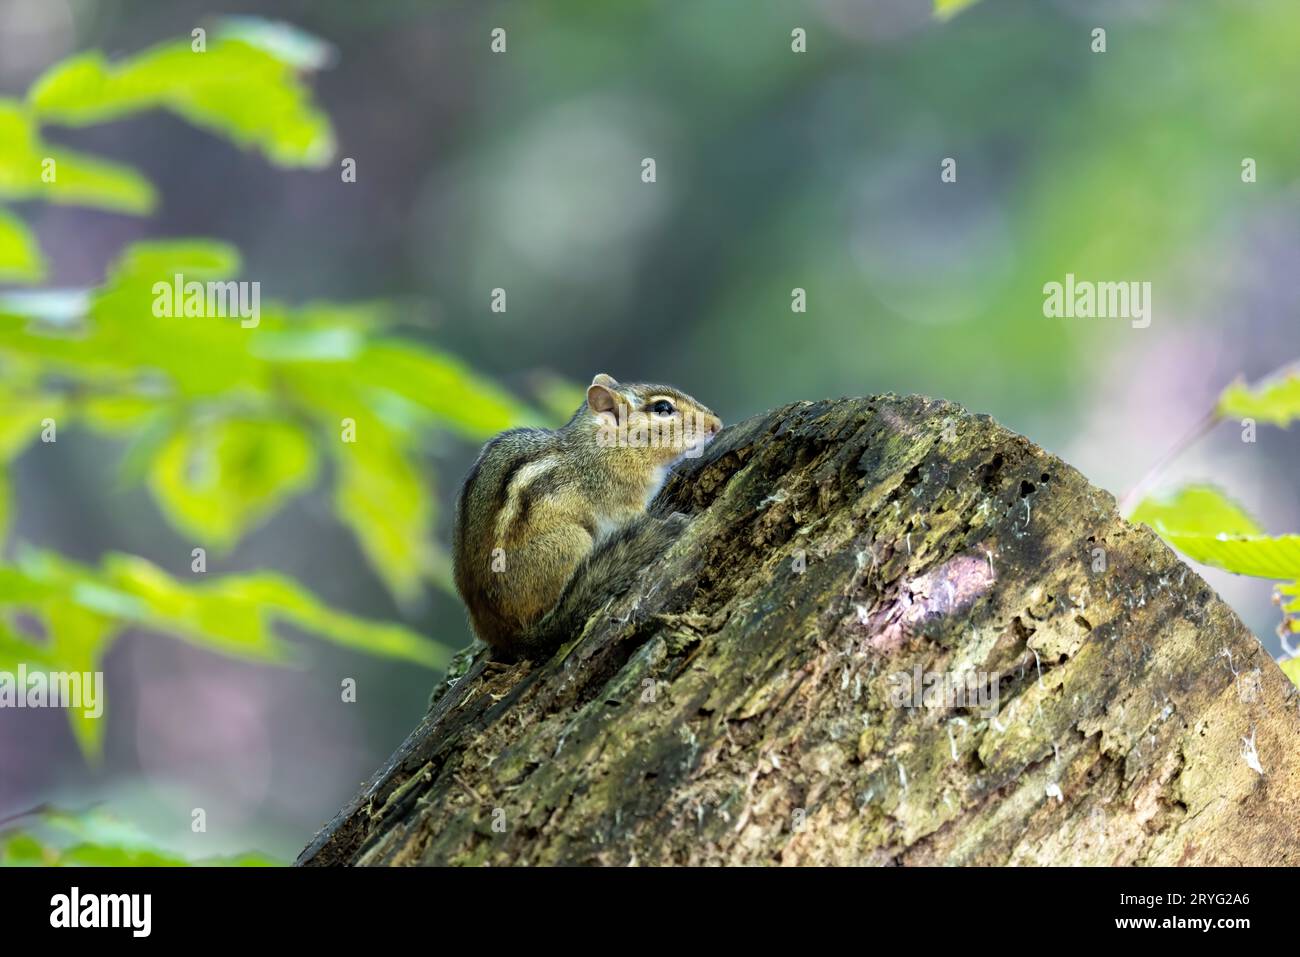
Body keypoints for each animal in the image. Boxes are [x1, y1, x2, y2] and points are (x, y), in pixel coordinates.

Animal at [452, 373, 722, 660]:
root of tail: (501, 632)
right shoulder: (622, 504)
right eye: (663, 408)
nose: (716, 424)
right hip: (570, 541)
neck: (606, 446)